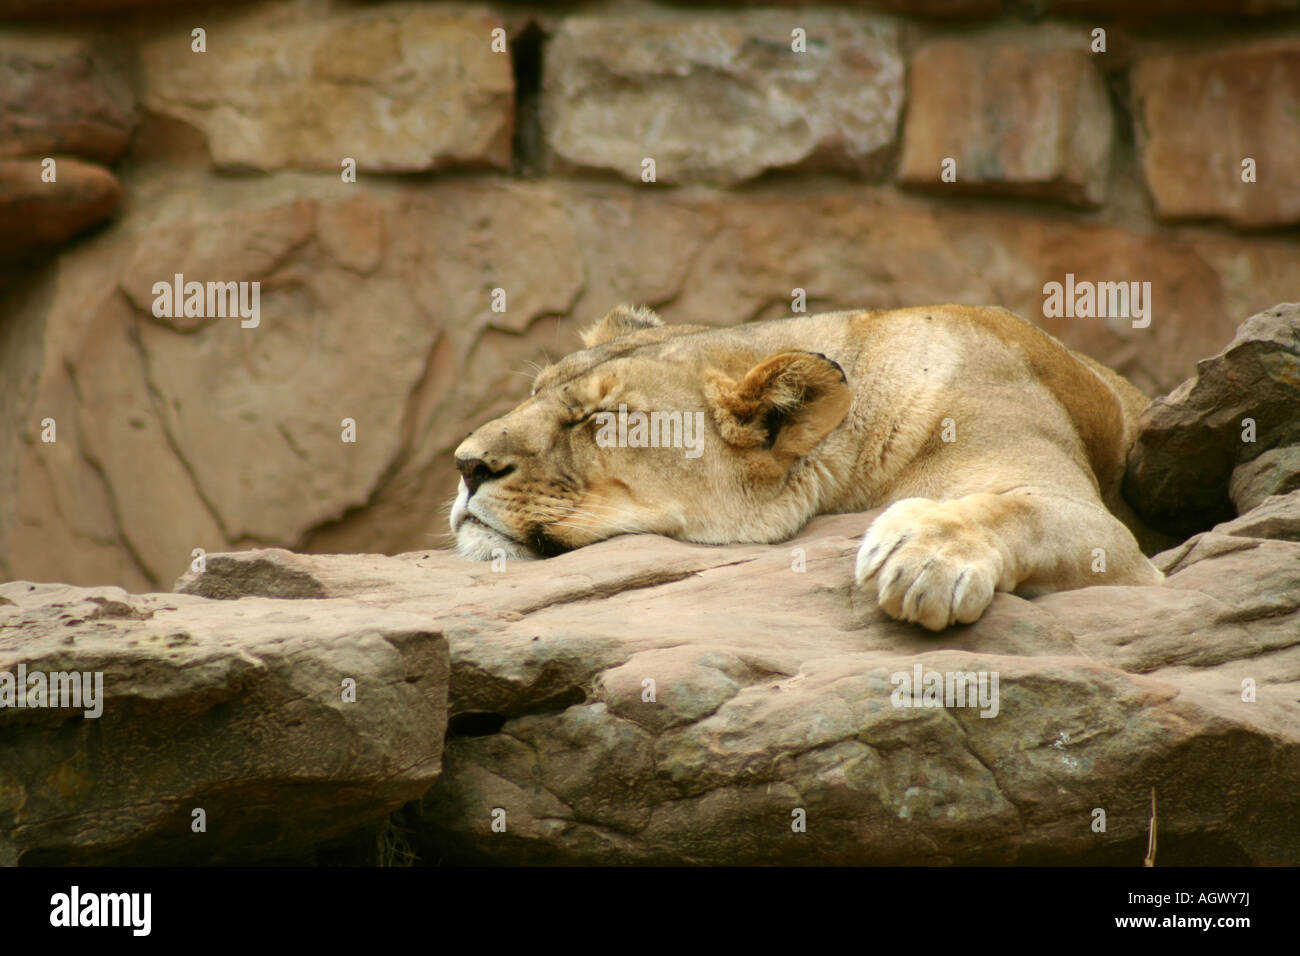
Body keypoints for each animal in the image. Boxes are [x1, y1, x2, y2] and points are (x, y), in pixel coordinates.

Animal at [450, 304, 1165, 631]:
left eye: (603, 418)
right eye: (534, 391)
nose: (465, 465)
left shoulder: (1121, 548)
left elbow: (1020, 507)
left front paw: (924, 559)